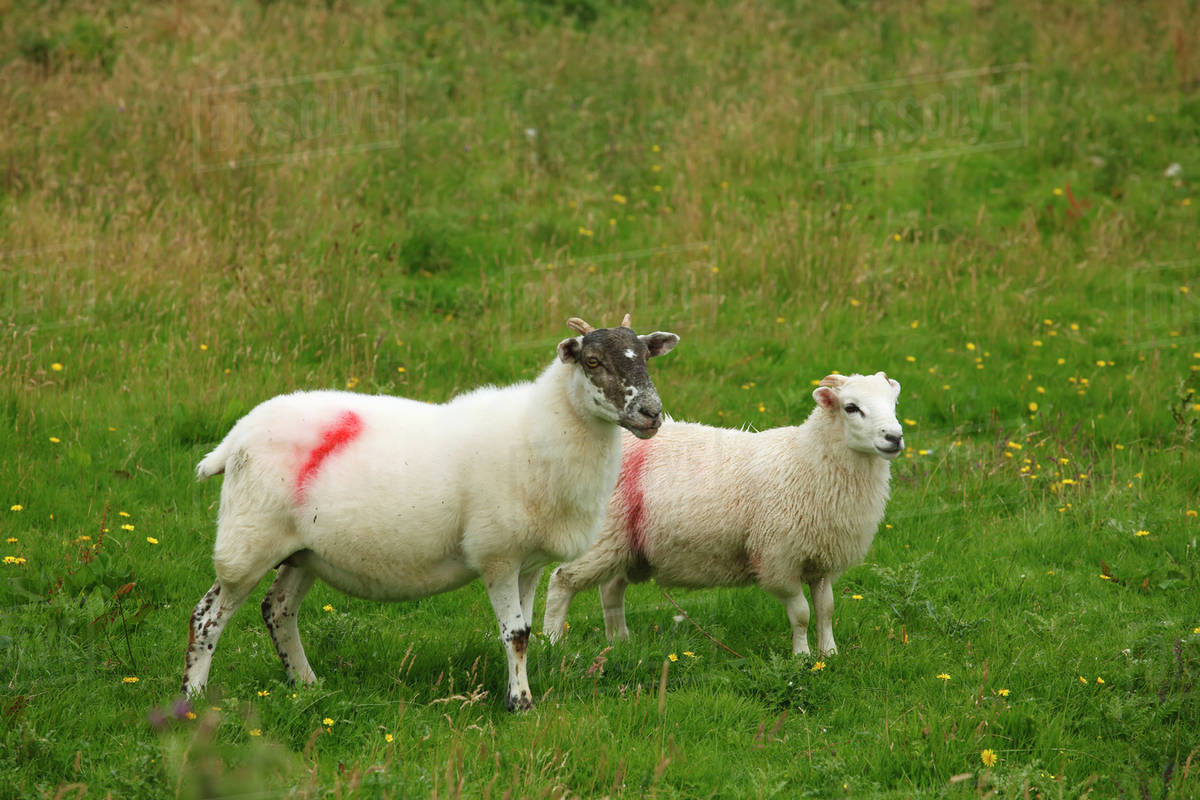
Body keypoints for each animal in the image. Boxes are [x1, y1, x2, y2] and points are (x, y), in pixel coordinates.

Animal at [182, 315, 679, 711]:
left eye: (646, 358)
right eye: (592, 361)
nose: (651, 413)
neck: (542, 428)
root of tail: (237, 434)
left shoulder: (529, 561)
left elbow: (526, 629)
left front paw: (520, 691)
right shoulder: (497, 552)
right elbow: (516, 634)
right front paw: (520, 703)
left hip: (304, 551)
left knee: (278, 609)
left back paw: (306, 684)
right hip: (249, 538)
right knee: (208, 616)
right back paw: (193, 695)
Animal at [543, 371, 902, 656]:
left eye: (893, 404)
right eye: (851, 407)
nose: (895, 437)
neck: (805, 459)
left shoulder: (821, 558)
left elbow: (826, 610)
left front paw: (829, 654)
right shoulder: (777, 559)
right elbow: (801, 613)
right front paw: (802, 658)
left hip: (630, 545)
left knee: (611, 589)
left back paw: (619, 642)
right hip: (605, 534)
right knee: (562, 581)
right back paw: (552, 643)